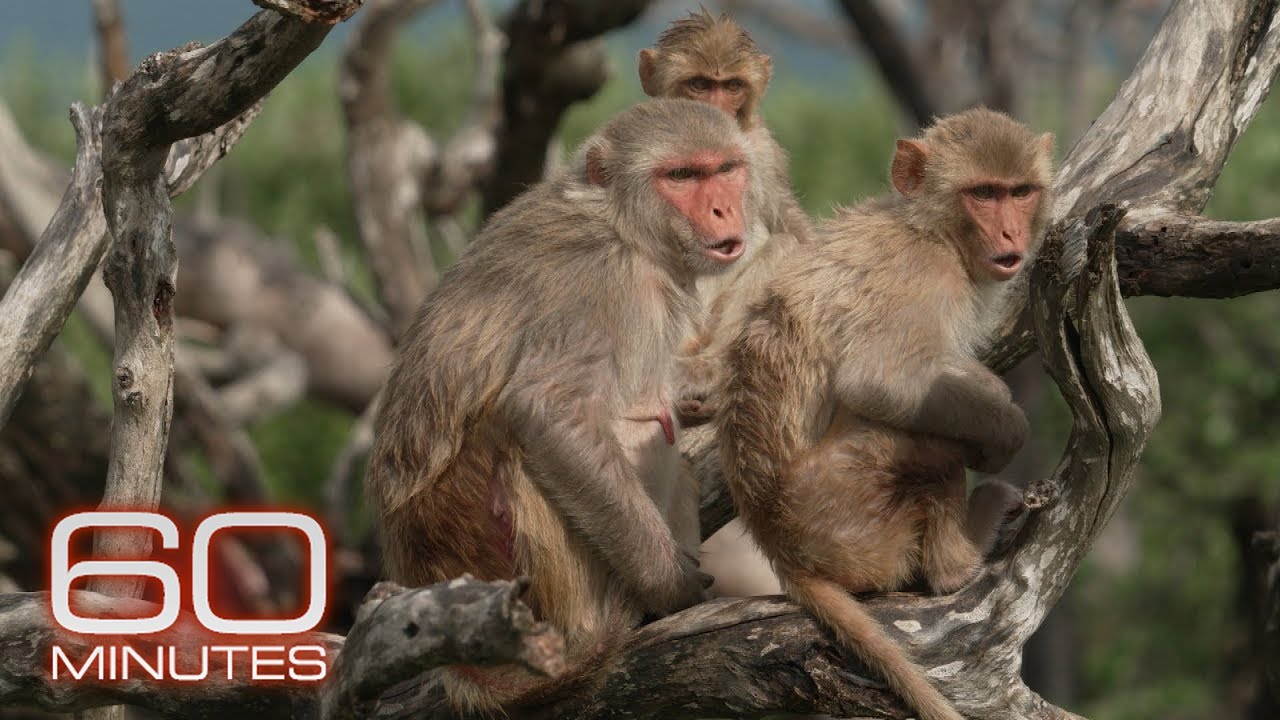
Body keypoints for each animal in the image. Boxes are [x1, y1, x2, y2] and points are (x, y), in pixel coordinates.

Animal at [364, 98, 767, 713]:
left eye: (724, 169)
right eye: (681, 176)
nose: (724, 208)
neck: (623, 226)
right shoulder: (600, 283)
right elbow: (549, 411)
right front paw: (669, 581)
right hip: (488, 552)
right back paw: (588, 634)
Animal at [718, 108, 1053, 720]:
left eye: (1020, 192)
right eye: (983, 193)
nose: (1011, 234)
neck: (930, 230)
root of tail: (780, 547)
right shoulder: (924, 274)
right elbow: (878, 378)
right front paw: (1005, 426)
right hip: (843, 513)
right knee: (929, 444)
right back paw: (958, 563)